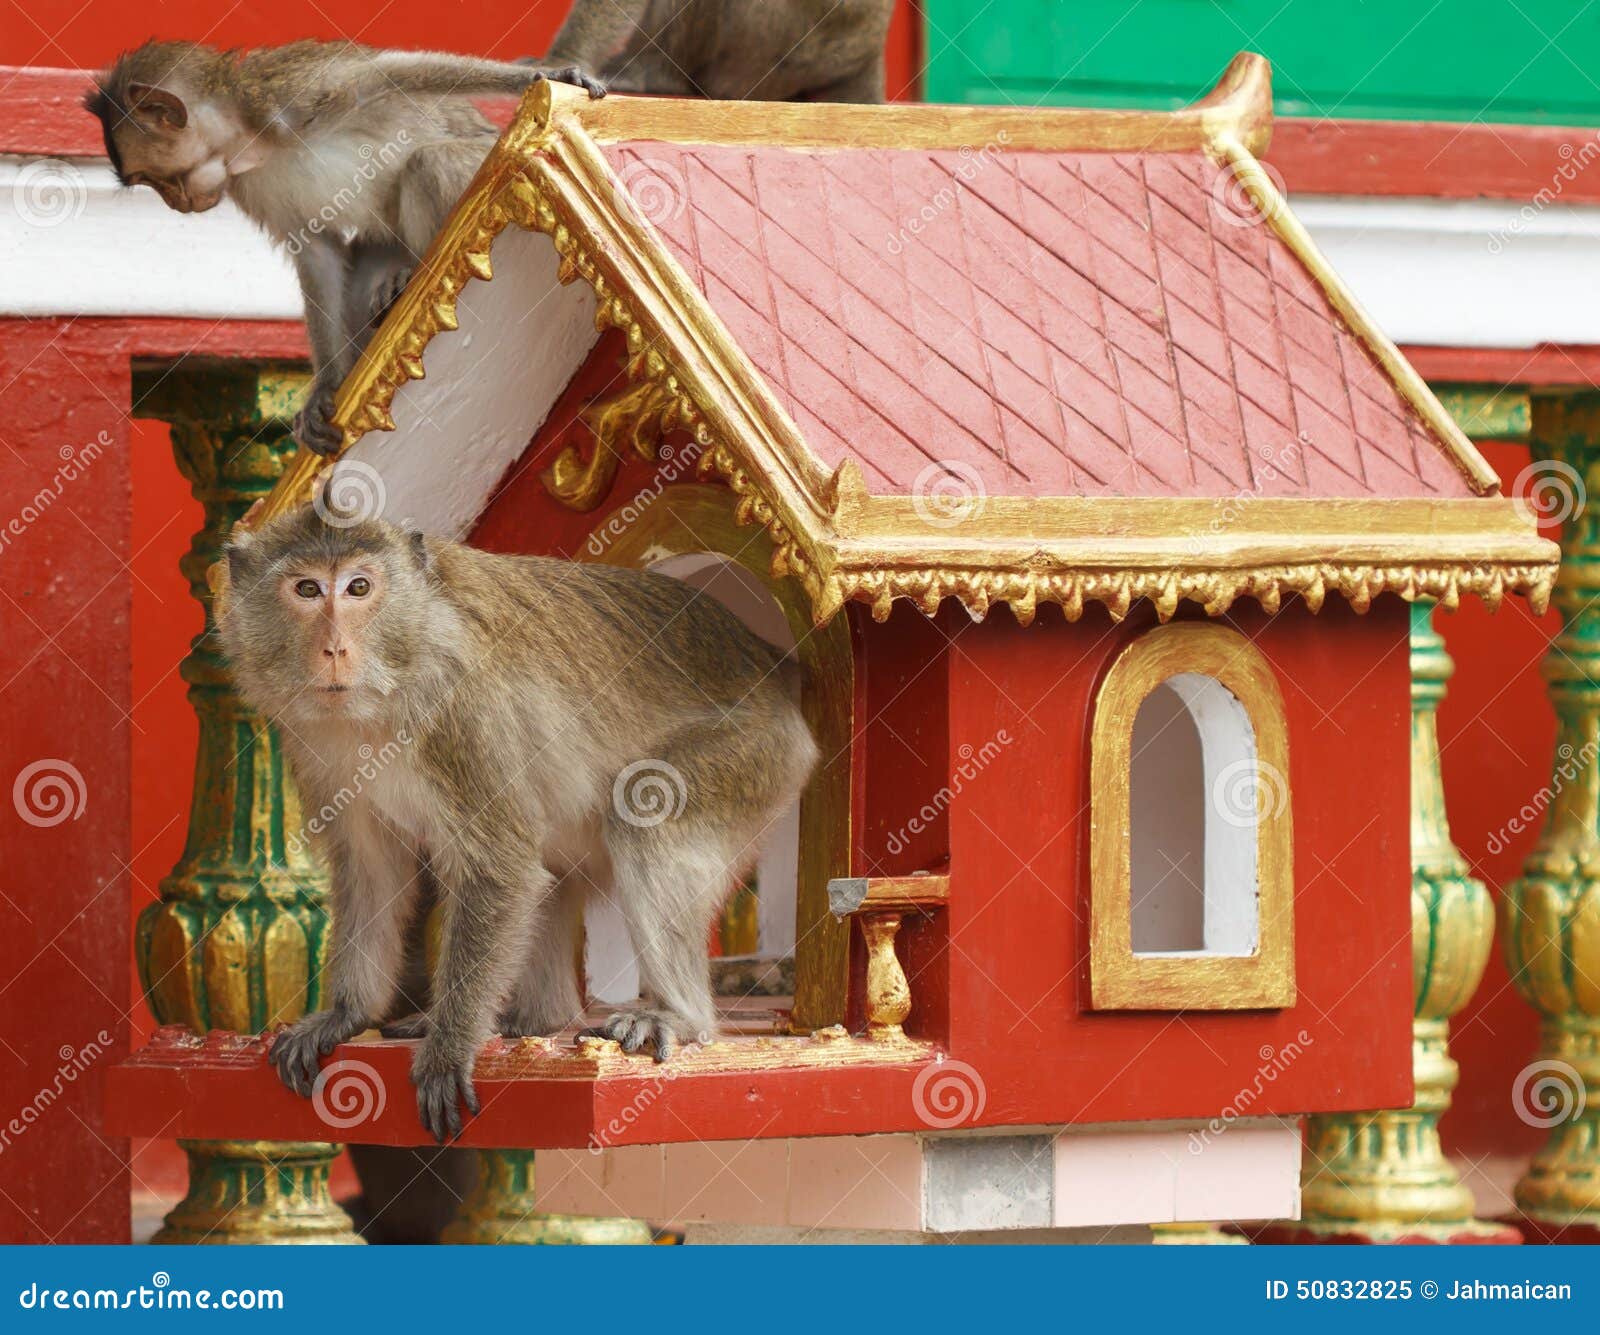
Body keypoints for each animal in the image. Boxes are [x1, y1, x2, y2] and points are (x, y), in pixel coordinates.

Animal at [84, 41, 602, 456]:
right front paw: (325, 387)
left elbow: (394, 74)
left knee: (428, 161)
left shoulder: (294, 96)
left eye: (157, 179)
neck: (244, 142)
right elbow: (317, 249)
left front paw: (551, 75)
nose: (175, 204)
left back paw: (409, 276)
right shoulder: (249, 185)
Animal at [218, 498, 818, 1143]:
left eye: (358, 587)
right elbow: (376, 870)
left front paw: (450, 1047)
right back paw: (532, 1019)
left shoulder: (461, 708)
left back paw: (679, 1018)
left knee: (644, 809)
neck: (388, 686)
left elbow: (499, 869)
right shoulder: (315, 744)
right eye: (306, 589)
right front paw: (348, 1013)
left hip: (757, 754)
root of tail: (771, 663)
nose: (334, 649)